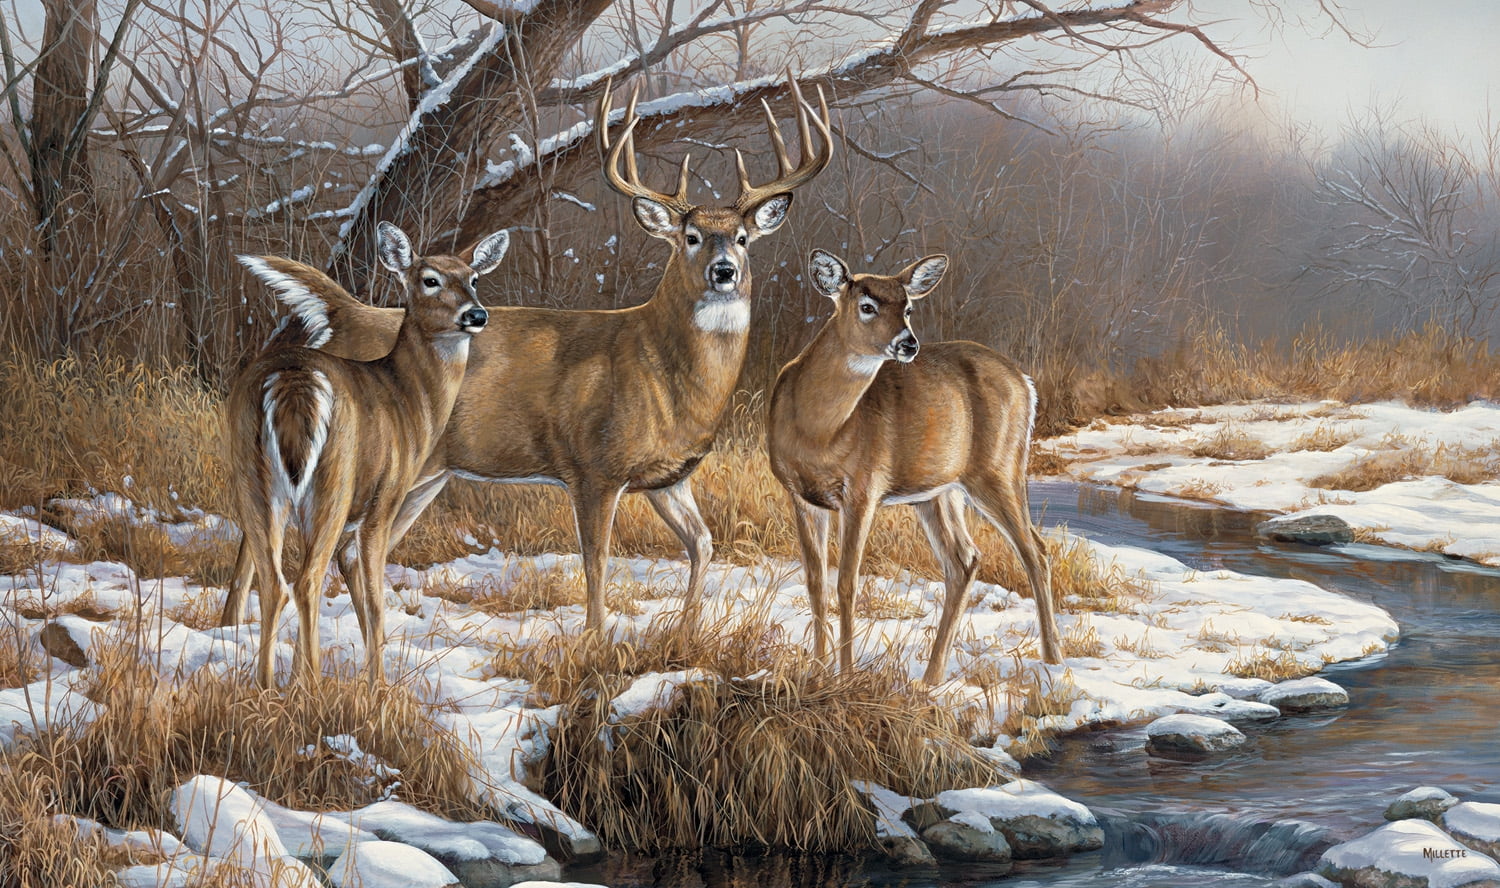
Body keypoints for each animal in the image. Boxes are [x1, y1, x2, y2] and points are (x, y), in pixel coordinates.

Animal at [220, 72, 832, 635]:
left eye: (744, 239)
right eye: (691, 237)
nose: (724, 271)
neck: (664, 370)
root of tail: (347, 314)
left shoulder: (668, 478)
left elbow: (703, 544)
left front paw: (685, 632)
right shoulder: (594, 466)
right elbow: (596, 561)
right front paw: (596, 642)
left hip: (424, 473)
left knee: (330, 545)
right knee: (271, 538)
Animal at [227, 221, 509, 687]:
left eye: (474, 279)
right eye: (429, 279)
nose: (476, 315)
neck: (409, 401)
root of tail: (292, 380)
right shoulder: (385, 497)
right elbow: (375, 597)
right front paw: (378, 683)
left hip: (252, 479)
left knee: (274, 581)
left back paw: (266, 686)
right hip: (333, 482)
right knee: (305, 581)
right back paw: (312, 687)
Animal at [767, 249, 1062, 685]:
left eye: (907, 308)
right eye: (867, 306)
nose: (908, 343)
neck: (818, 431)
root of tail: (1026, 382)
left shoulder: (863, 489)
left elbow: (847, 583)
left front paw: (845, 675)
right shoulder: (800, 496)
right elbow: (815, 582)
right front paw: (817, 671)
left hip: (998, 469)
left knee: (1034, 552)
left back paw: (1053, 659)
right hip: (938, 491)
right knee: (964, 559)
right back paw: (932, 678)